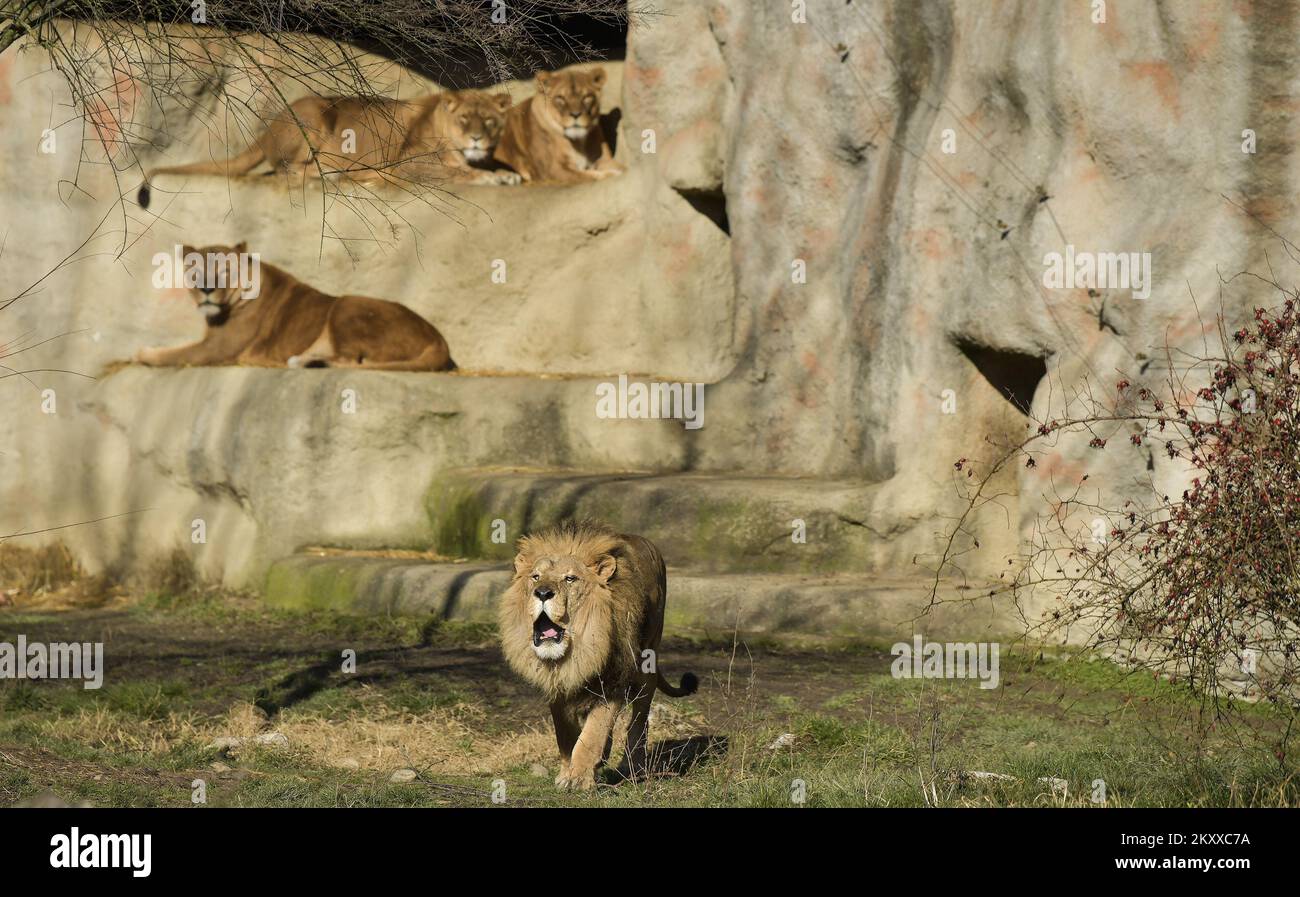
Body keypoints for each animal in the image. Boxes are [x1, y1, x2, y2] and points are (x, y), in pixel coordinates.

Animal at [134, 242, 455, 371]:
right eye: (195, 271)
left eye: (224, 271)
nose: (206, 289)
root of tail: (438, 337)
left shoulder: (216, 349)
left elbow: (173, 354)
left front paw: (143, 352)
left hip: (347, 304)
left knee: (353, 360)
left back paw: (304, 361)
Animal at [137, 90, 519, 207]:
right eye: (465, 119)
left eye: (489, 121)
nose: (476, 139)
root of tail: (268, 127)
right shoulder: (407, 162)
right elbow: (455, 171)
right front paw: (489, 178)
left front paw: (504, 174)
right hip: (315, 115)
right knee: (287, 169)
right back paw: (332, 175)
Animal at [493, 67, 625, 184]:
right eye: (560, 98)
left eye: (586, 97)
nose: (575, 114)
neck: (578, 142)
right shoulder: (552, 170)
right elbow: (588, 176)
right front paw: (612, 174)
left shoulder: (604, 159)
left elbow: (620, 167)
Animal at [498, 521, 698, 791]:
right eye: (535, 577)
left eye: (570, 578)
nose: (542, 593)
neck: (577, 652)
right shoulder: (557, 685)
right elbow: (566, 735)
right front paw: (568, 771)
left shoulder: (614, 680)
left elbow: (593, 733)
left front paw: (578, 779)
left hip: (647, 660)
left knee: (640, 718)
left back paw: (633, 766)